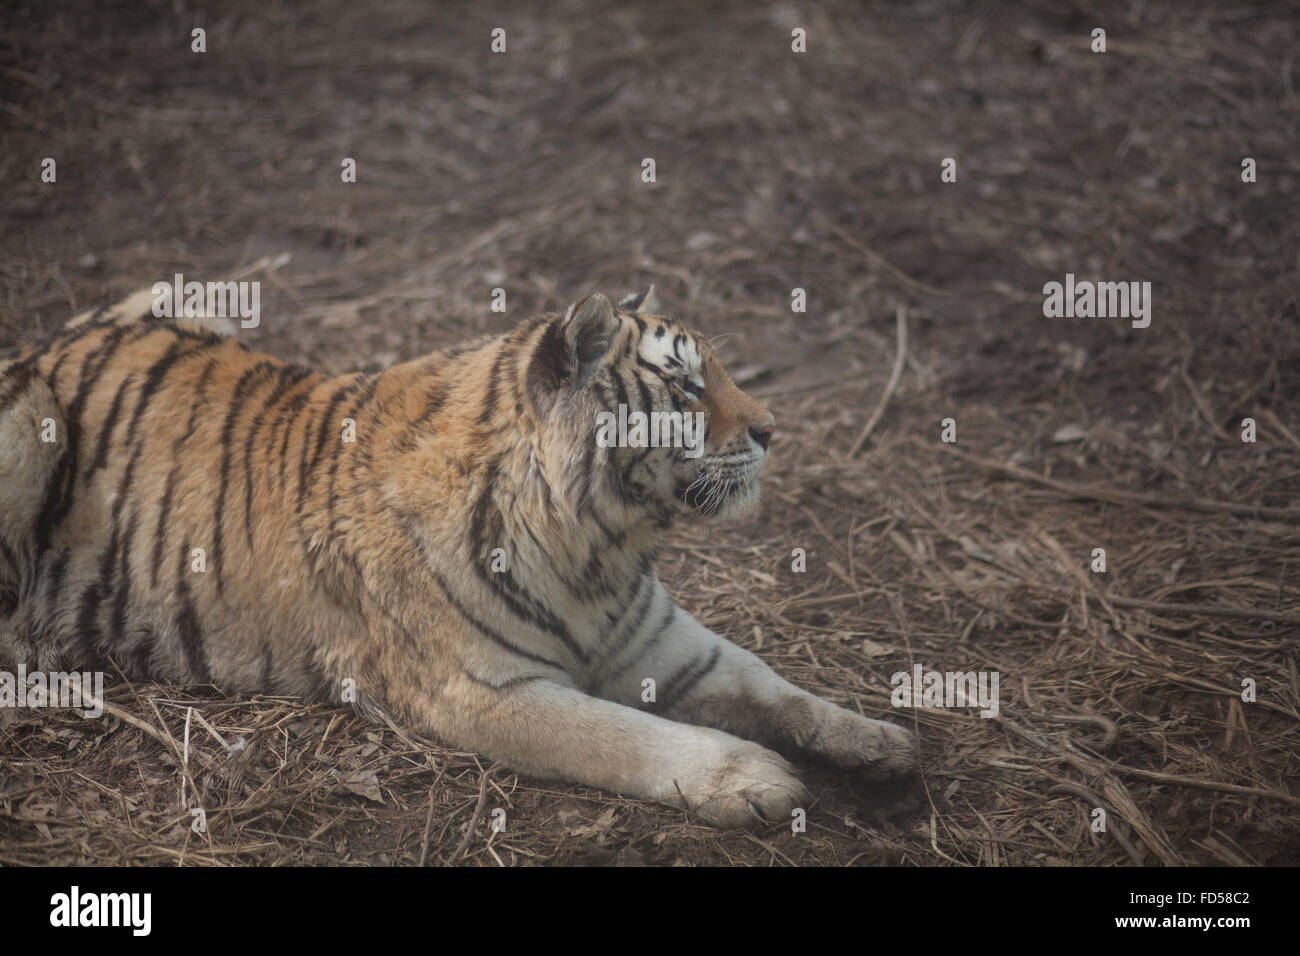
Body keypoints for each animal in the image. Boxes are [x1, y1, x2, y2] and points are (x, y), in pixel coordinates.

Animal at [0, 285, 917, 826]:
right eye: (689, 385)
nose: (771, 431)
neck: (603, 545)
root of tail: (49, 343)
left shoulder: (664, 645)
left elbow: (772, 684)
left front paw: (881, 742)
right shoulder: (483, 689)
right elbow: (624, 736)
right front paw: (754, 780)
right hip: (27, 419)